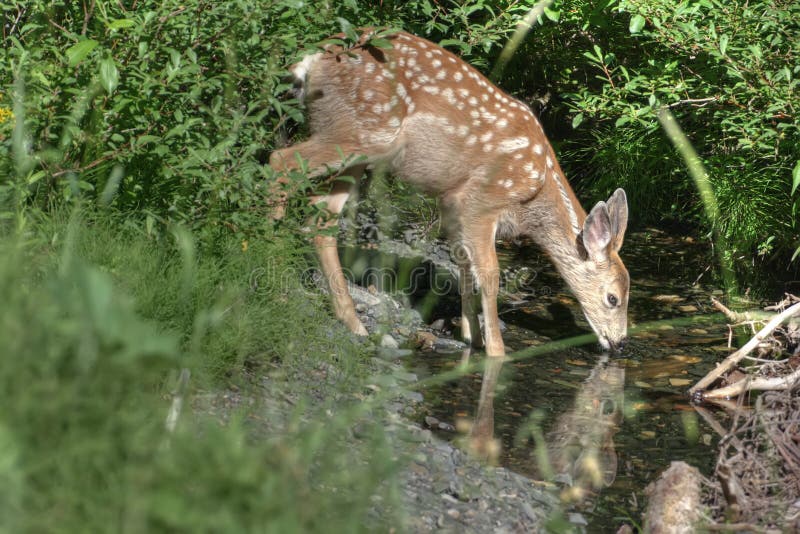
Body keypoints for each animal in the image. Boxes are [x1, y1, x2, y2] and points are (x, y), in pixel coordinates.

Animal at [269, 30, 630, 357]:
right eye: (613, 298)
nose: (620, 343)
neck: (534, 193)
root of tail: (314, 60)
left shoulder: (451, 204)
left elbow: (464, 265)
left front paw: (471, 336)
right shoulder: (481, 201)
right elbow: (490, 274)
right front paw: (497, 351)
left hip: (356, 149)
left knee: (320, 217)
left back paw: (353, 322)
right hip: (362, 131)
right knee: (280, 161)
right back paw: (268, 257)